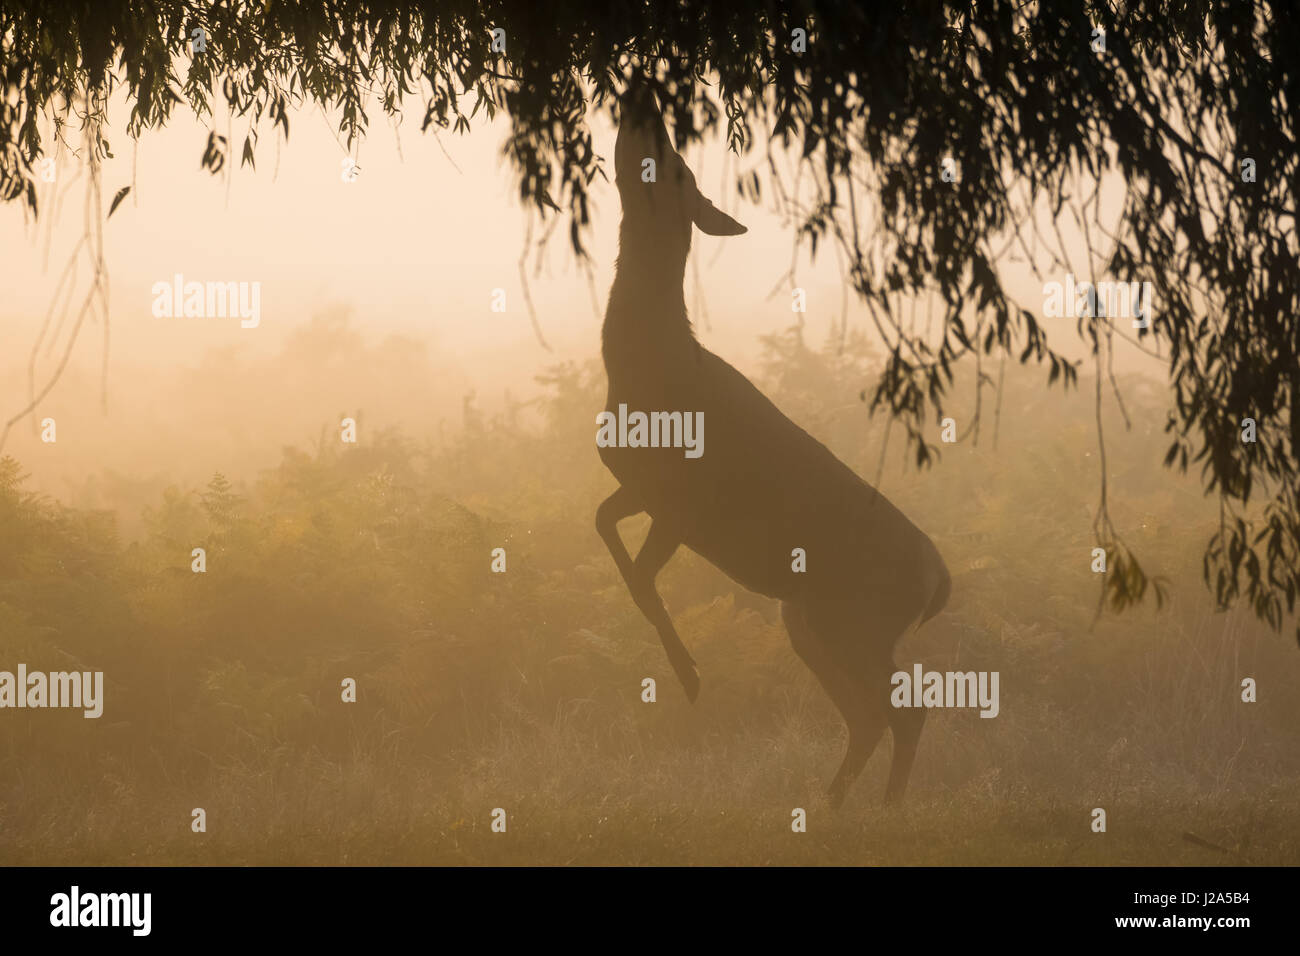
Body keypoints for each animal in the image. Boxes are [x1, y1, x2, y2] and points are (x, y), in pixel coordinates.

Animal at [596, 86, 951, 807]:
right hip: (809, 619)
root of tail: (940, 582)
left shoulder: (682, 500)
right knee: (869, 714)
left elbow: (642, 576)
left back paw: (886, 810)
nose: (643, 98)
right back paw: (835, 804)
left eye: (677, 167)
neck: (642, 366)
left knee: (904, 711)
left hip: (854, 618)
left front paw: (689, 674)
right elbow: (604, 530)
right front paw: (686, 669)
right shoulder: (635, 483)